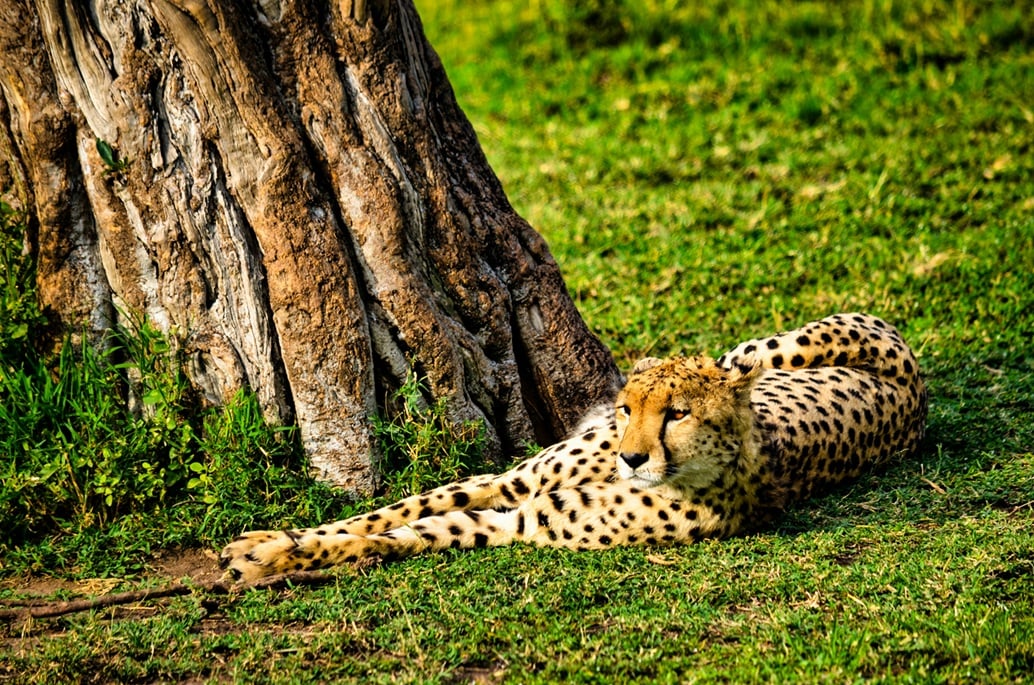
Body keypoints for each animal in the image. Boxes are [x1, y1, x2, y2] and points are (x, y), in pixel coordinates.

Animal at [220, 314, 930, 583]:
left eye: (677, 414)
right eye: (629, 408)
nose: (632, 456)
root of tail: (918, 395)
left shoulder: (520, 519)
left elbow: (412, 533)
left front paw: (272, 558)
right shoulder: (509, 483)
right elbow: (392, 511)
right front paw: (266, 542)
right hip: (758, 349)